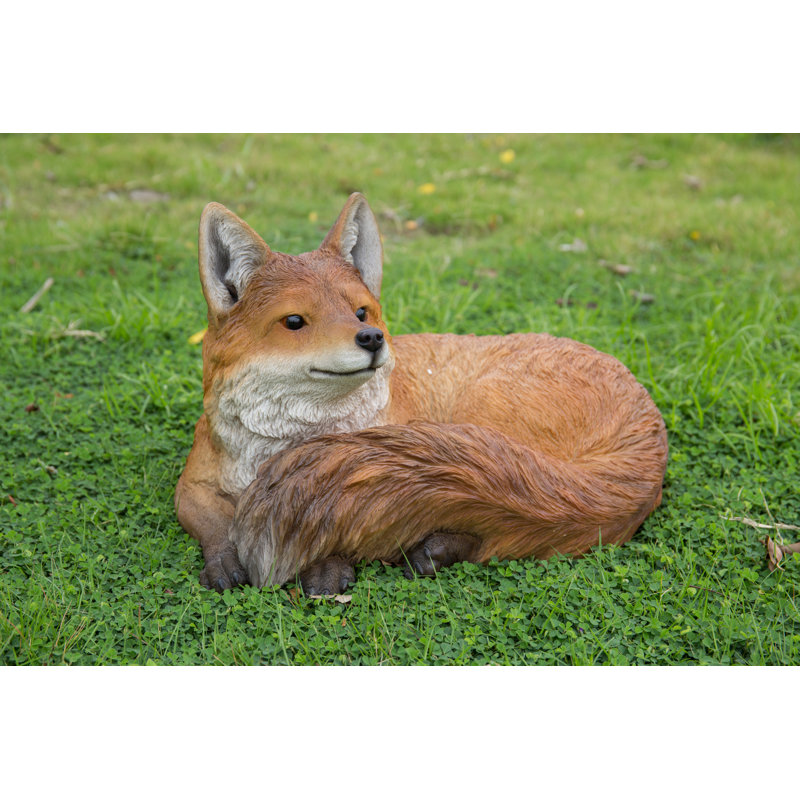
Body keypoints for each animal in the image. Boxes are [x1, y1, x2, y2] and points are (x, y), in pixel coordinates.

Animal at [175, 192, 668, 596]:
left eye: (361, 312)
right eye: (294, 322)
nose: (372, 338)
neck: (286, 447)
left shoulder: (366, 480)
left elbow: (345, 524)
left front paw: (326, 566)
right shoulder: (190, 485)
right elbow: (214, 526)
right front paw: (224, 561)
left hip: (479, 421)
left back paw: (435, 549)